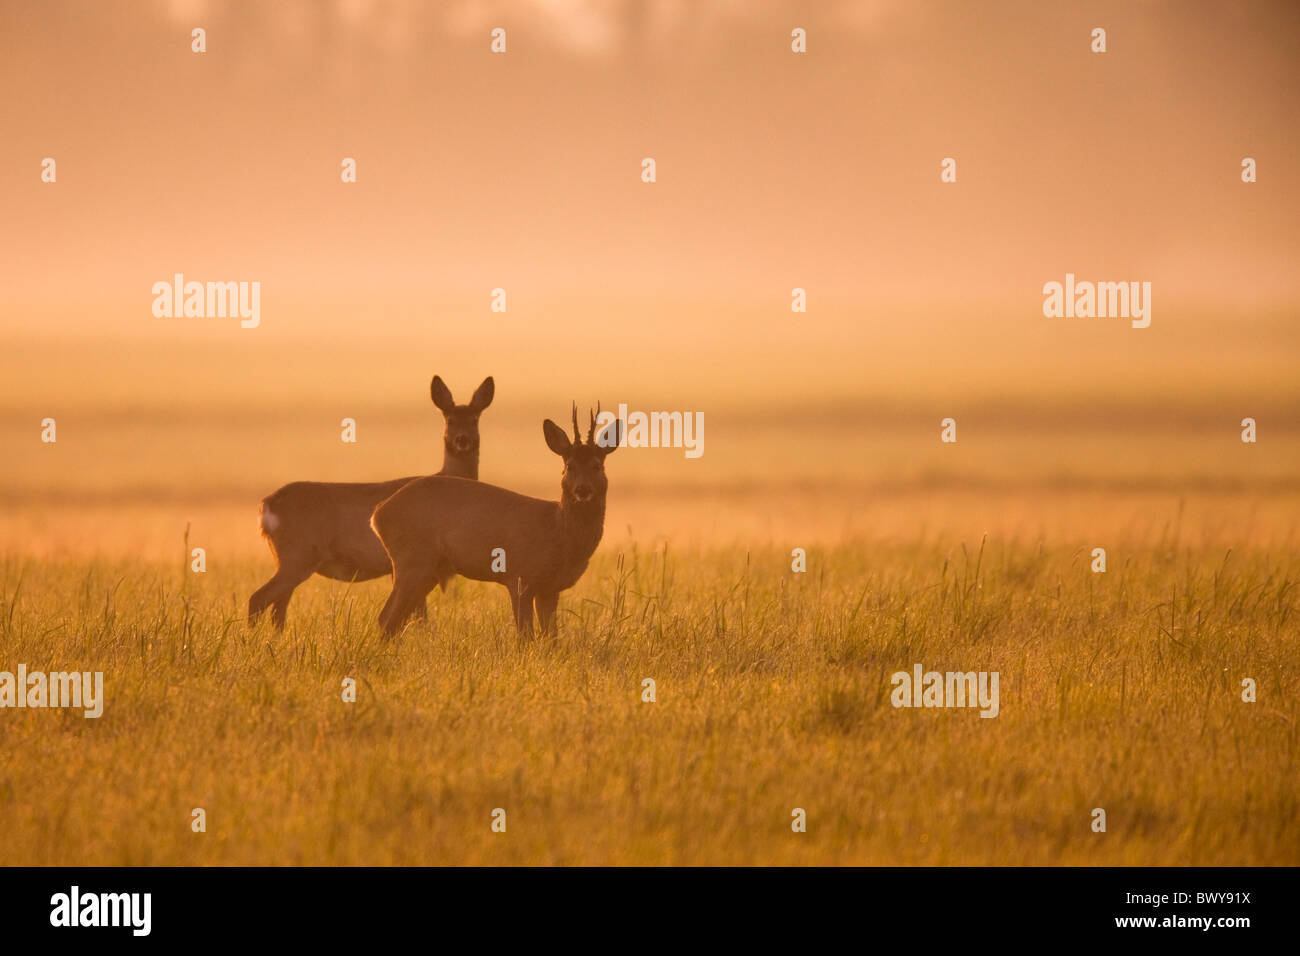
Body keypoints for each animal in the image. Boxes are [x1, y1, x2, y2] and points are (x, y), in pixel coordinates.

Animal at [248, 375, 494, 629]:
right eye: (449, 419)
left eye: (475, 419)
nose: (462, 440)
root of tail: (265, 505)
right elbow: (419, 615)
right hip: (298, 554)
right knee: (259, 598)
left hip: (289, 558)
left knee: (277, 607)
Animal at [371, 404, 621, 639]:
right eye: (569, 466)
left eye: (597, 465)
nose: (582, 490)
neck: (558, 529)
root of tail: (377, 515)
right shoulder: (520, 577)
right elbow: (525, 635)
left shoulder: (550, 588)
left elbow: (551, 637)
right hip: (412, 561)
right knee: (386, 617)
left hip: (427, 569)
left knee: (395, 619)